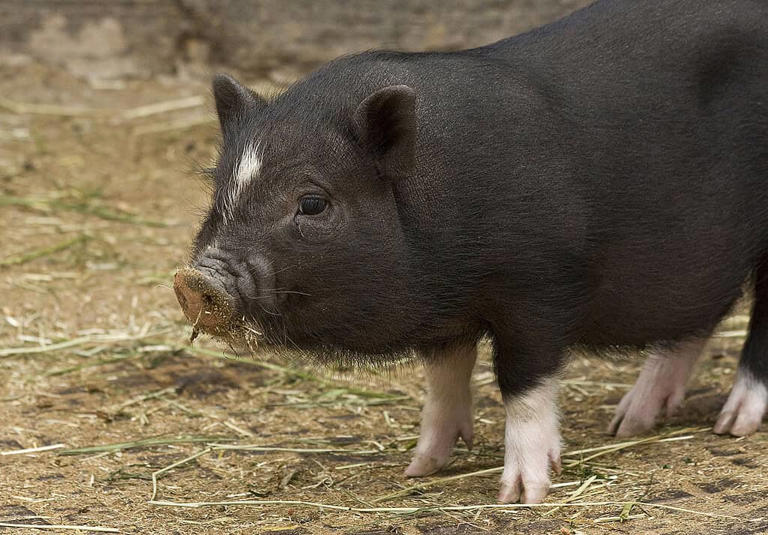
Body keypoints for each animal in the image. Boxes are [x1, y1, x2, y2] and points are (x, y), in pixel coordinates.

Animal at [174, 0, 768, 504]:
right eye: (219, 188)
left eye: (313, 202)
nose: (195, 280)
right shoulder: (444, 311)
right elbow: (443, 376)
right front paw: (418, 469)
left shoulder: (542, 286)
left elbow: (522, 382)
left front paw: (522, 495)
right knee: (698, 318)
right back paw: (629, 423)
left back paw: (732, 425)